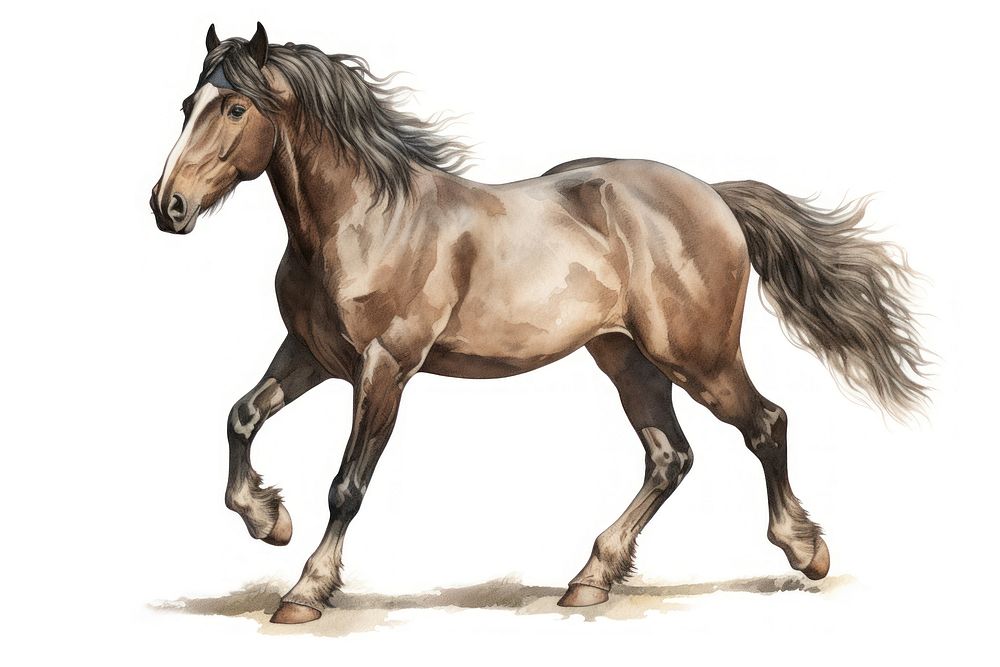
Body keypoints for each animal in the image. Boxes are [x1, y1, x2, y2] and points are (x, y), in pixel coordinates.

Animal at [151, 23, 929, 625]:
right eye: (190, 103)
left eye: (235, 108)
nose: (168, 206)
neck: (363, 220)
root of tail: (712, 195)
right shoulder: (311, 354)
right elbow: (241, 416)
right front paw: (268, 520)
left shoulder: (385, 367)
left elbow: (347, 484)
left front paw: (305, 590)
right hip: (626, 360)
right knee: (670, 457)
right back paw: (591, 578)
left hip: (697, 357)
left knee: (766, 423)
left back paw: (805, 550)